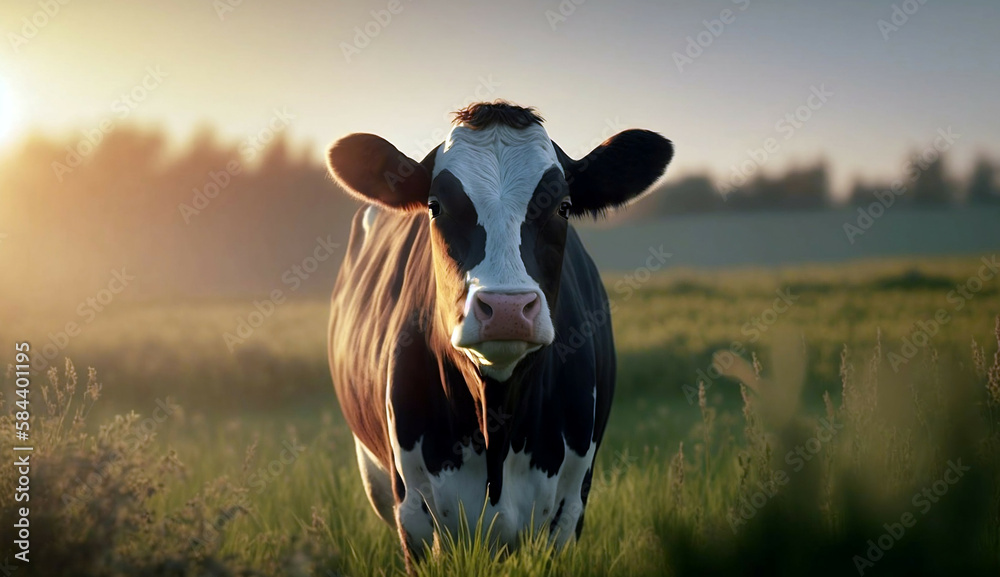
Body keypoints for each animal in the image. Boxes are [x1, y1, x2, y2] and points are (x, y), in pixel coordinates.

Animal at [325, 101, 672, 567]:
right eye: (435, 206)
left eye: (563, 206)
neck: (497, 424)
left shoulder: (568, 509)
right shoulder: (413, 513)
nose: (507, 309)